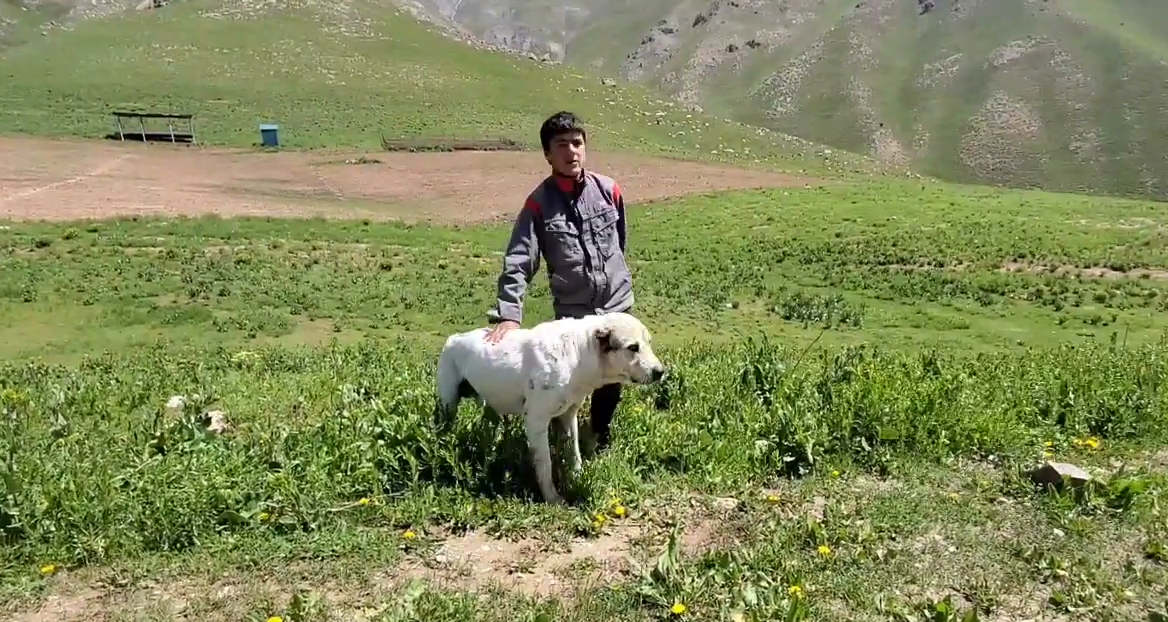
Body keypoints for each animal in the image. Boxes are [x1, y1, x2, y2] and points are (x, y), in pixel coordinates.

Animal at [434, 310, 668, 504]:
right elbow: (545, 465)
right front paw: (552, 498)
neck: (578, 354)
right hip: (448, 404)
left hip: (491, 405)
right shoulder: (536, 420)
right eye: (633, 347)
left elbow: (574, 452)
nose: (660, 372)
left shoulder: (569, 415)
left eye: (648, 343)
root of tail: (454, 338)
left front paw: (578, 477)